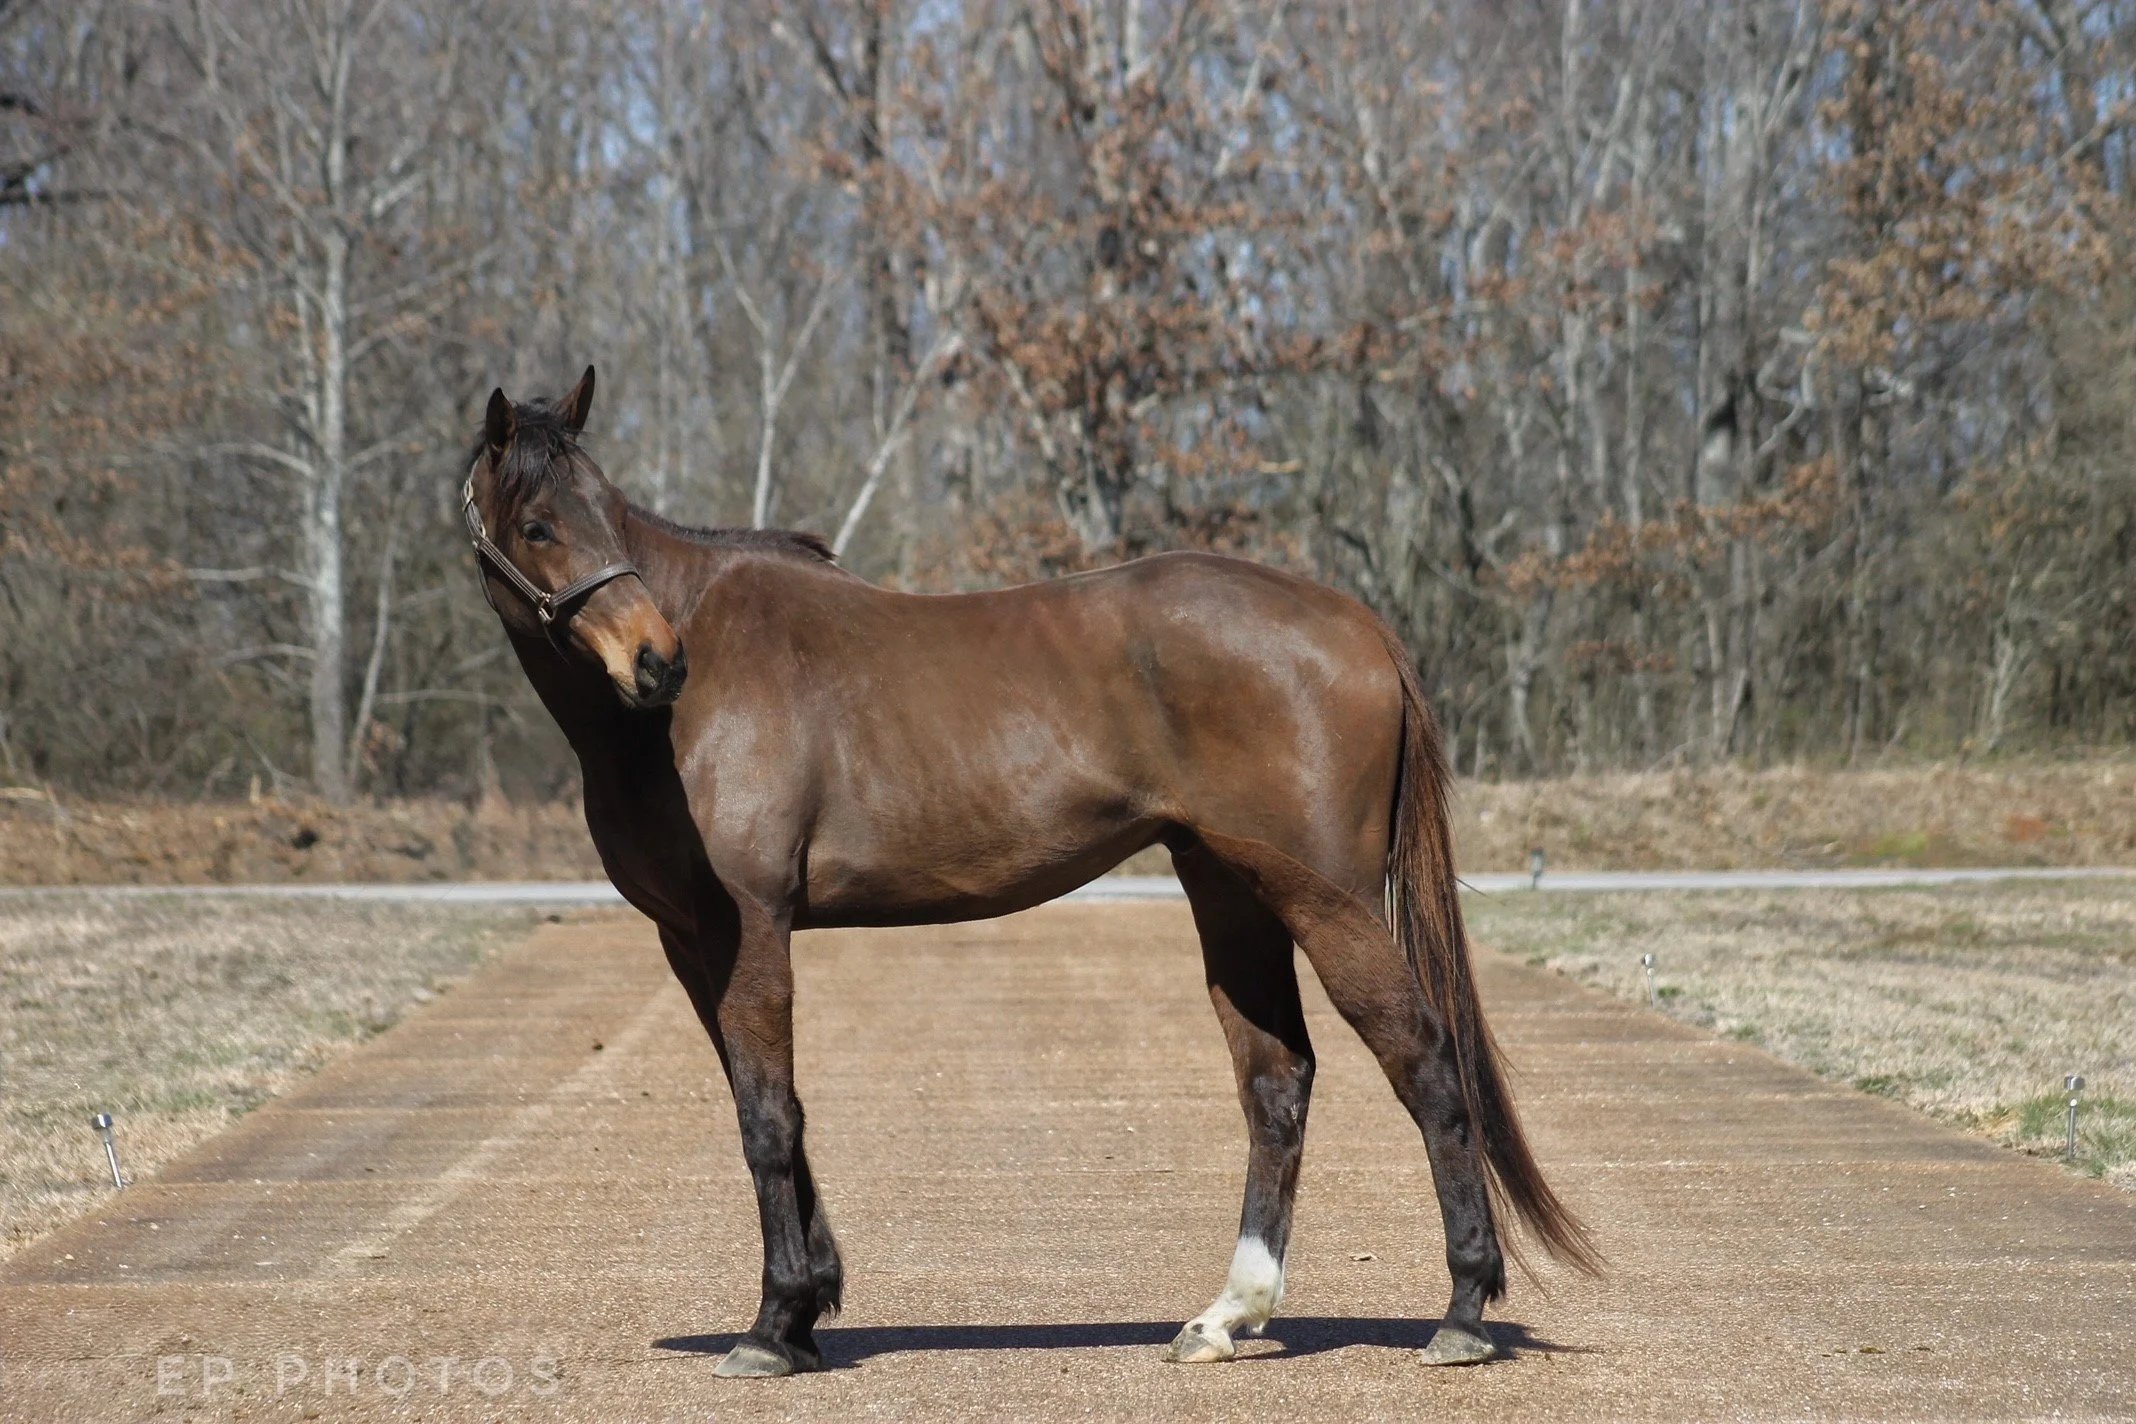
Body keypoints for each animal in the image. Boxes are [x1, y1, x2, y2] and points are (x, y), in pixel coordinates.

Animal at [462, 367, 1598, 1378]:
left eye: (602, 514)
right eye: (538, 526)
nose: (657, 660)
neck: (673, 715)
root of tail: (1354, 623)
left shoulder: (749, 926)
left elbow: (767, 1116)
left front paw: (772, 1325)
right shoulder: (691, 942)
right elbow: (778, 1105)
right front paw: (809, 1307)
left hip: (1332, 903)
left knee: (1425, 1059)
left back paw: (1461, 1310)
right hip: (1232, 892)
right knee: (1277, 1082)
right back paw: (1226, 1315)